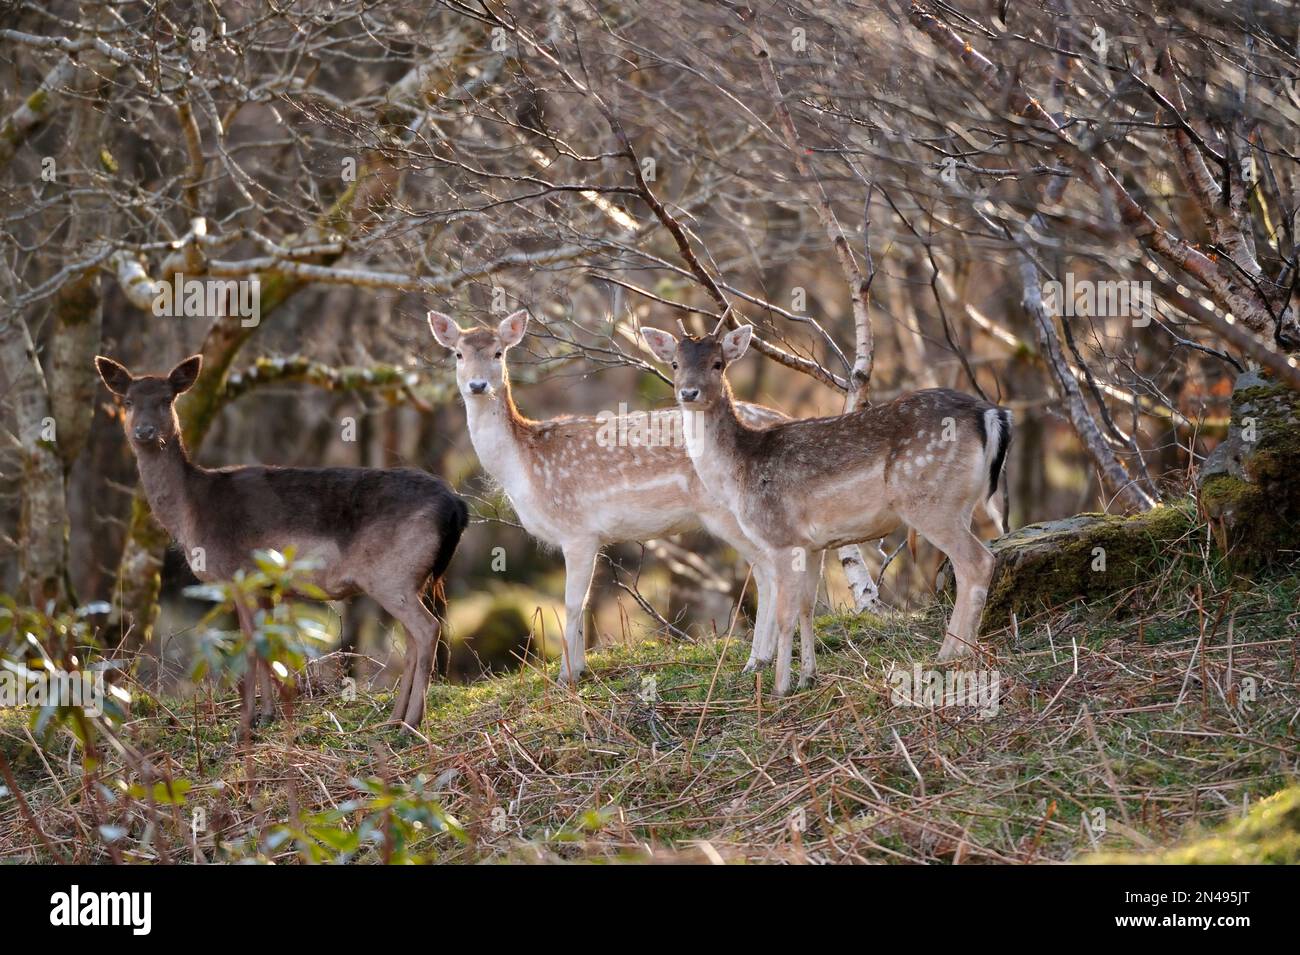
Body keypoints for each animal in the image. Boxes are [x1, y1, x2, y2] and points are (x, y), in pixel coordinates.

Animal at [95, 354, 468, 728]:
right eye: (127, 401)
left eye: (166, 399)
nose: (144, 432)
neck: (191, 517)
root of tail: (456, 506)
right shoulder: (266, 586)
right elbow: (265, 642)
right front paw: (268, 714)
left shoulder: (239, 575)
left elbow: (250, 643)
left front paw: (248, 722)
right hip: (411, 579)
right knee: (412, 638)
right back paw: (394, 718)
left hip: (391, 575)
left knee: (427, 629)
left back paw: (411, 722)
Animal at [641, 322, 1012, 696]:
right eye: (675, 363)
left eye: (718, 364)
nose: (689, 392)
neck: (738, 473)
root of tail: (992, 414)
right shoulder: (813, 545)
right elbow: (808, 608)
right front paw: (808, 676)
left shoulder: (782, 537)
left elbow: (785, 615)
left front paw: (780, 687)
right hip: (959, 504)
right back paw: (961, 650)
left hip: (929, 501)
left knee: (977, 562)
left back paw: (951, 653)